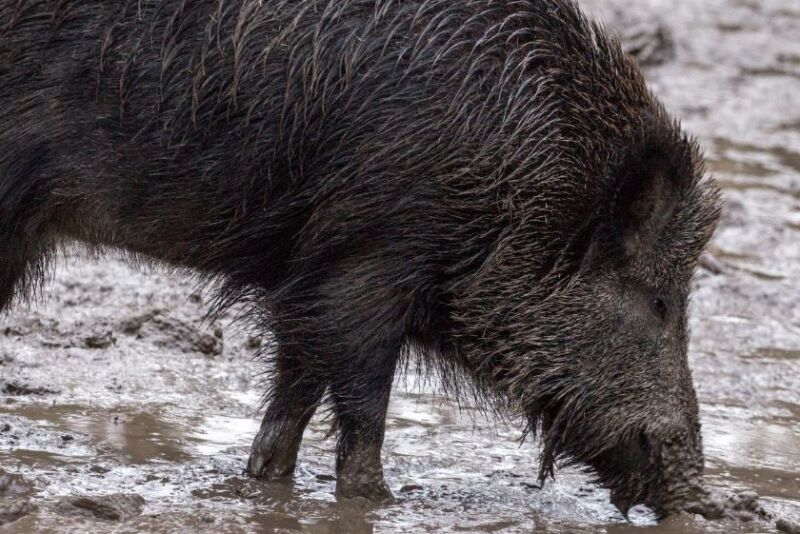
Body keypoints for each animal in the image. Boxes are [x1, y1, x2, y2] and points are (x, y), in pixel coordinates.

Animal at [0, 0, 721, 516]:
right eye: (660, 302)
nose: (699, 500)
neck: (516, 183)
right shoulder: (367, 260)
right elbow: (363, 410)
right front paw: (377, 502)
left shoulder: (309, 280)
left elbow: (295, 392)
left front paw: (266, 485)